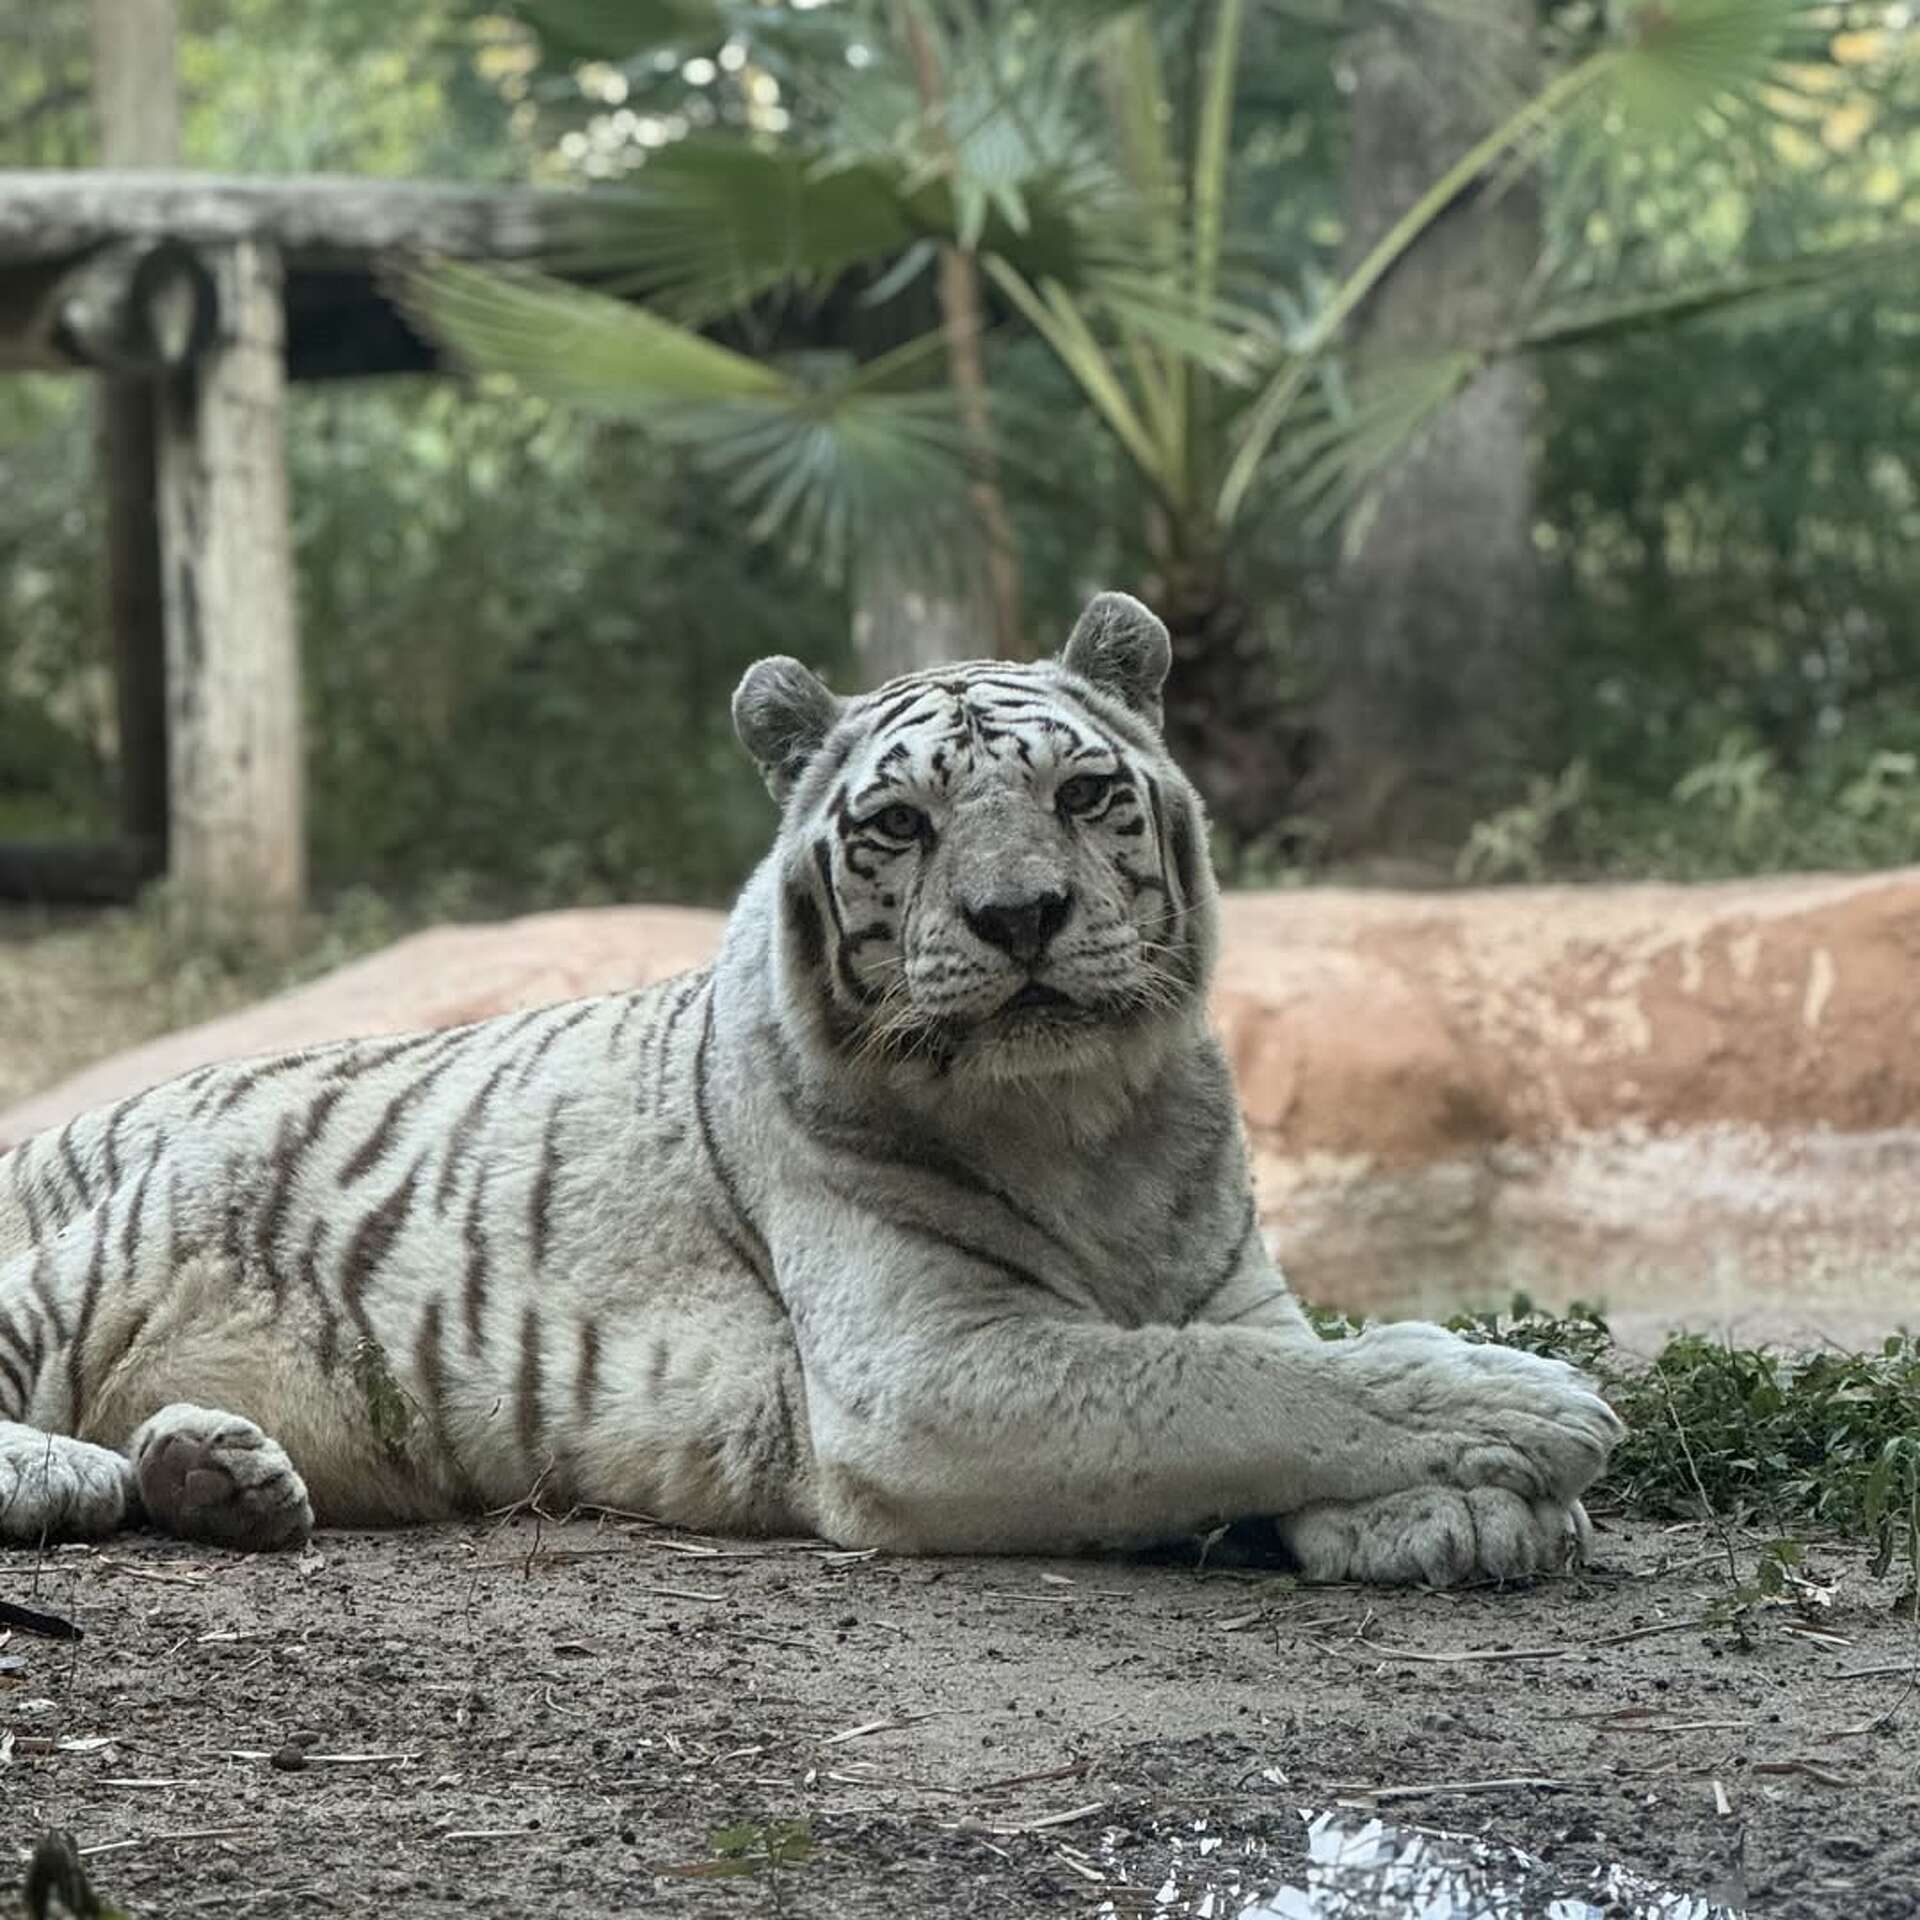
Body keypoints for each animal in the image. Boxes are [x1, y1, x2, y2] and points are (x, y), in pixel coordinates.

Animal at [0, 592, 1621, 1586]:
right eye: (901, 826)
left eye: (1084, 793)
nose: (1020, 917)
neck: (1089, 1122)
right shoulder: (926, 1367)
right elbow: (1225, 1385)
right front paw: (1523, 1407)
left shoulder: (1231, 1286)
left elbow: (1289, 1360)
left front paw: (1456, 1507)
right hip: (68, 1265)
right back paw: (80, 1476)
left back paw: (219, 1471)